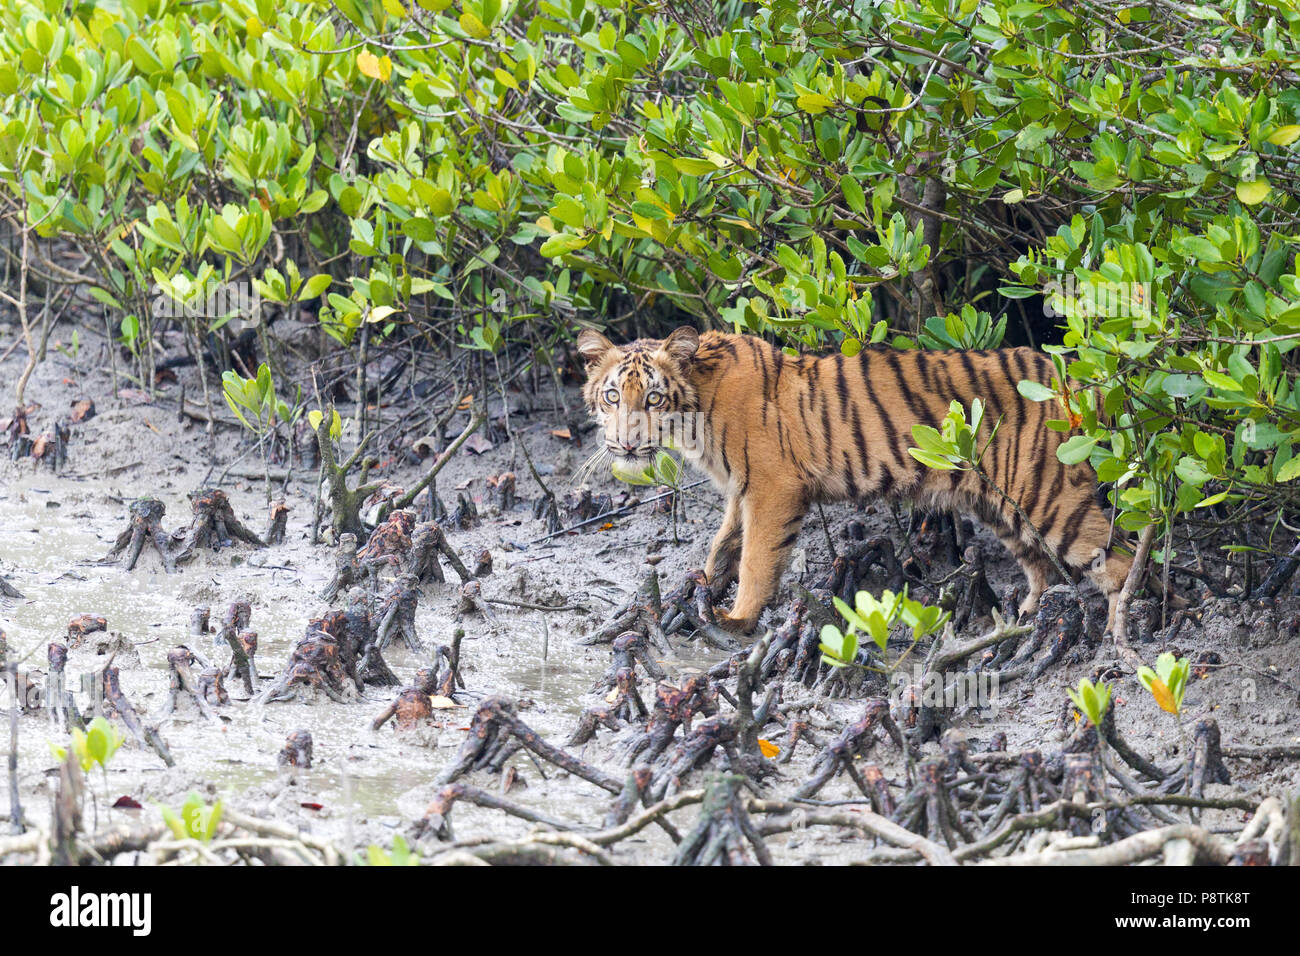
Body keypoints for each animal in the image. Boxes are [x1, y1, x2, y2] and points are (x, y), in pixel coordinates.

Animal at [574, 327, 1133, 634]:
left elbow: (756, 558)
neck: (696, 411)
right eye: (611, 396)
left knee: (1118, 561)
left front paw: (737, 620)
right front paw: (699, 592)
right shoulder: (741, 489)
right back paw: (1024, 619)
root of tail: (1077, 378)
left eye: (652, 399)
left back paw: (1117, 641)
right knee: (1042, 566)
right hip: (1003, 504)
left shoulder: (772, 487)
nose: (625, 445)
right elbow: (723, 546)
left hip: (1051, 495)